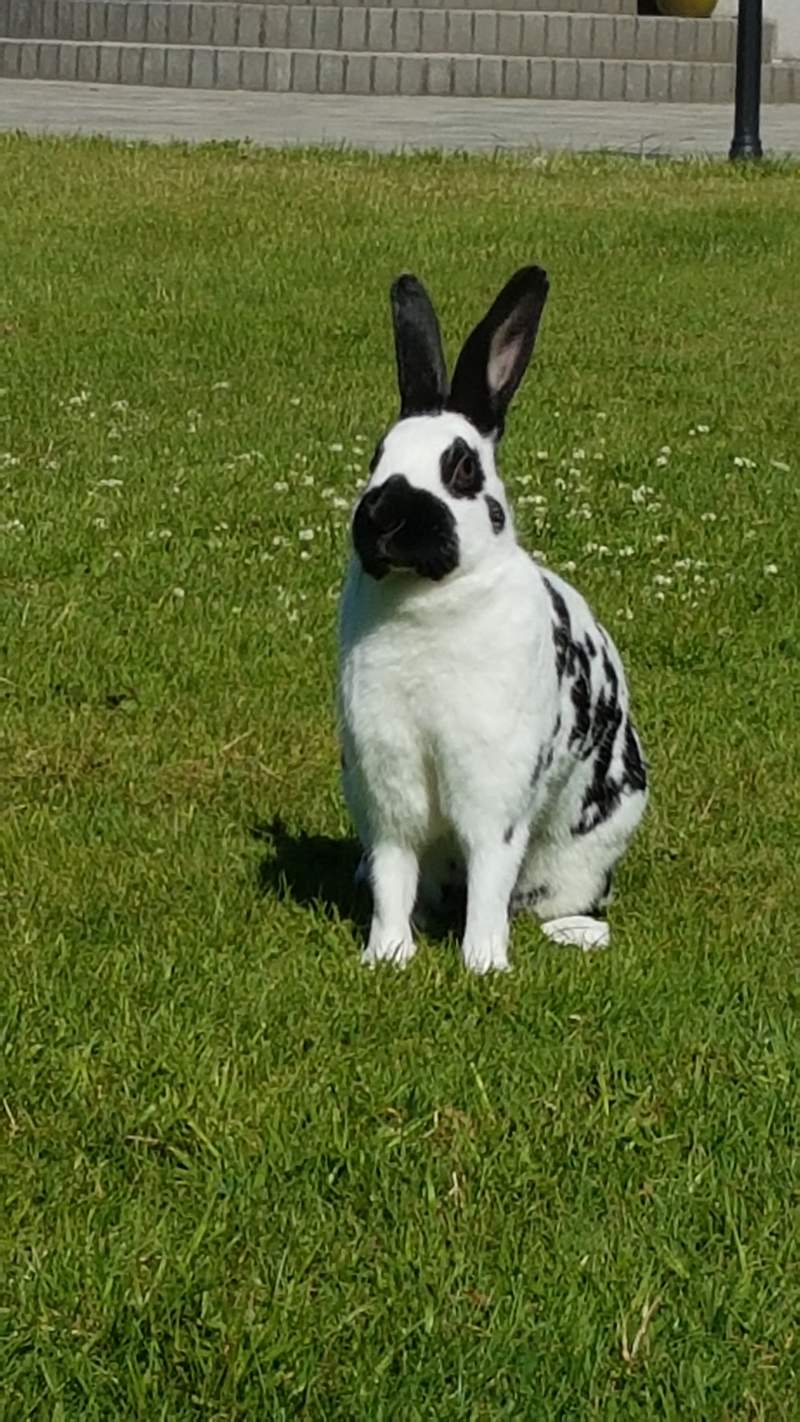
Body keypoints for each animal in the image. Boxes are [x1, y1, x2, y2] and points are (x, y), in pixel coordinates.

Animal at [337, 266, 648, 974]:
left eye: (461, 467)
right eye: (376, 457)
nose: (383, 517)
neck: (425, 599)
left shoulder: (493, 790)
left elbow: (489, 876)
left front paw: (482, 965)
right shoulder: (387, 787)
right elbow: (393, 873)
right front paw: (387, 955)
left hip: (580, 859)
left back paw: (578, 935)